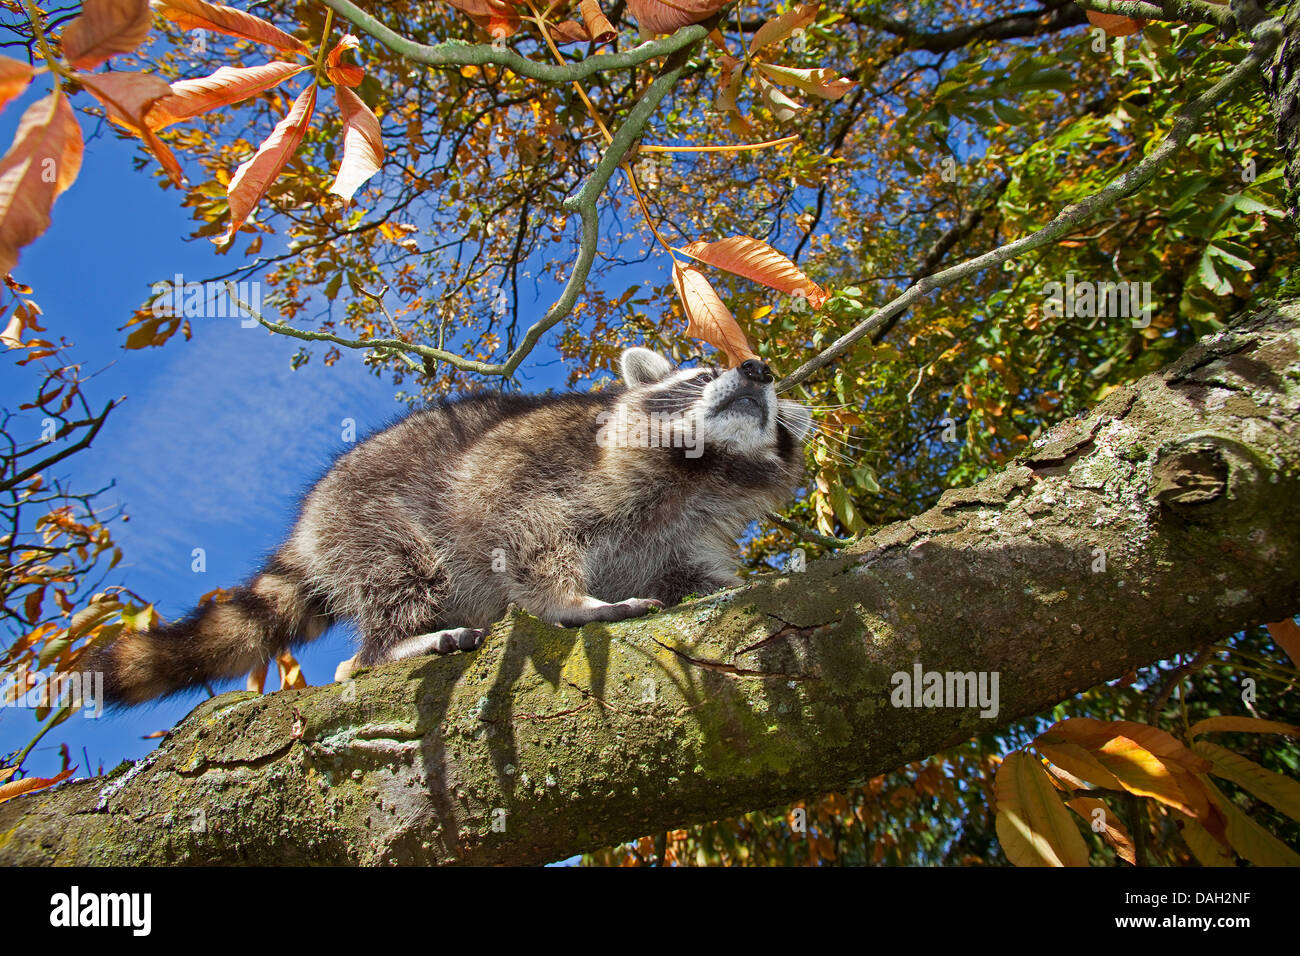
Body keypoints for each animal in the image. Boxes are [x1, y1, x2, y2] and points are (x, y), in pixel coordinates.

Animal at [91, 348, 813, 705]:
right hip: (367, 514)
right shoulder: (547, 456)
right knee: (399, 572)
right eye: (701, 372)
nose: (757, 369)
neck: (698, 467)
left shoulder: (690, 532)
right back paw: (388, 647)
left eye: (777, 409)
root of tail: (309, 524)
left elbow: (702, 575)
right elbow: (515, 520)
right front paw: (568, 601)